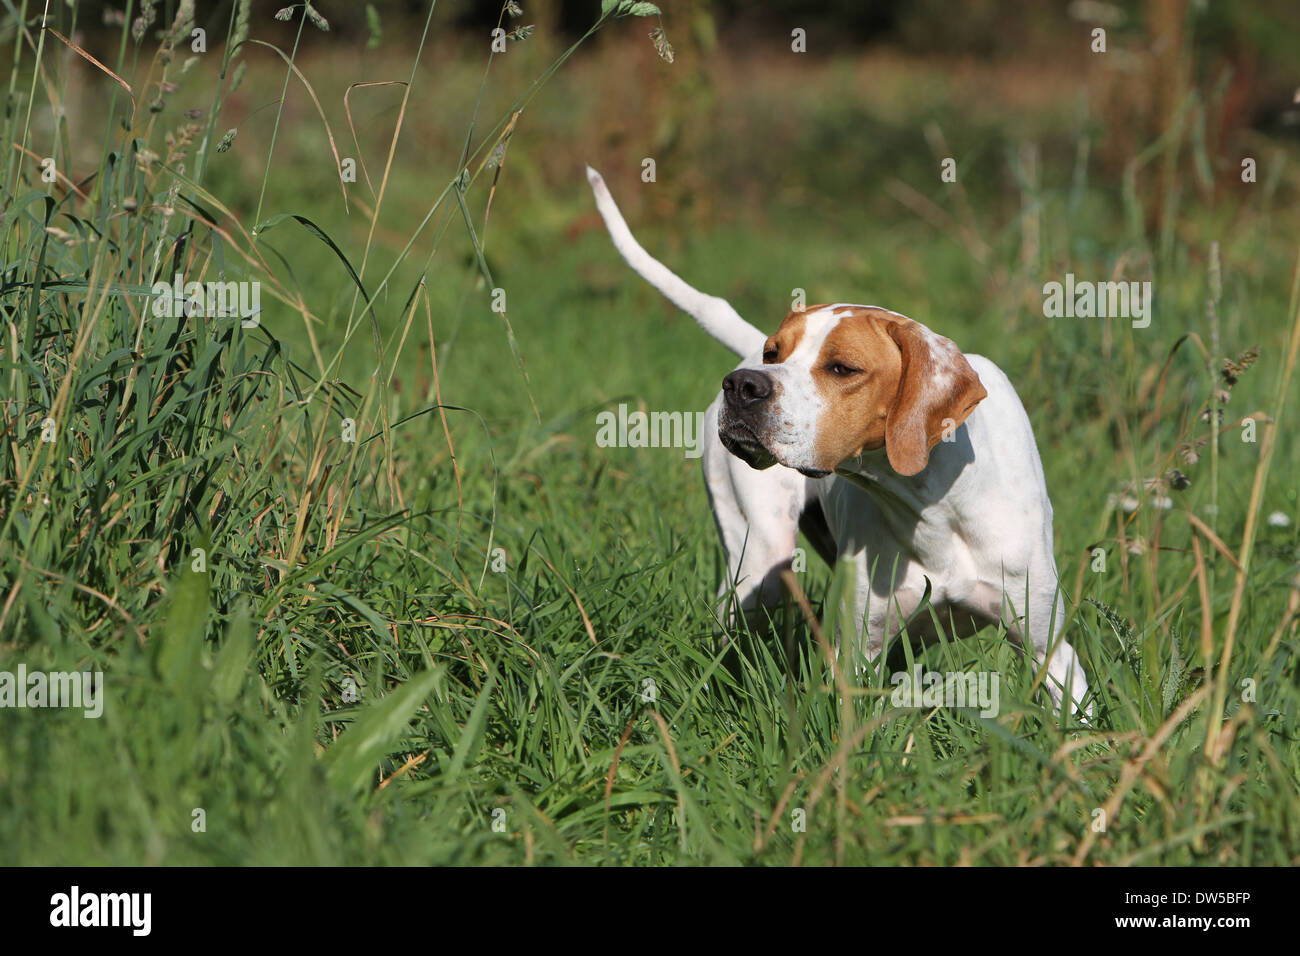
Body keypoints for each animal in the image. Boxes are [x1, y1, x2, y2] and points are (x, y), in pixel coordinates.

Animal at [587, 166, 1086, 717]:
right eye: (775, 352)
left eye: (843, 368)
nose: (742, 386)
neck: (935, 506)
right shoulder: (858, 654)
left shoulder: (1052, 653)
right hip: (756, 559)